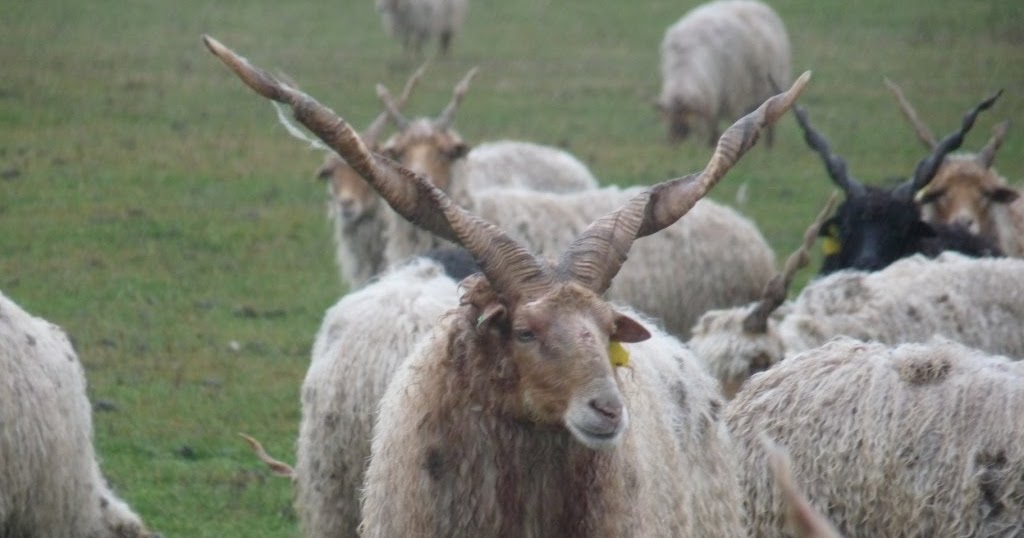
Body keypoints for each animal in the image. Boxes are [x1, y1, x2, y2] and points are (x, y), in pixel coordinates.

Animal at [657, 0, 791, 146]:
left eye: (688, 122)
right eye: (668, 120)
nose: (677, 147)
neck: (685, 65)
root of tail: (756, 4)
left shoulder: (734, 98)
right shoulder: (713, 100)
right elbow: (713, 126)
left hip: (772, 88)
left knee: (771, 127)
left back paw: (769, 147)